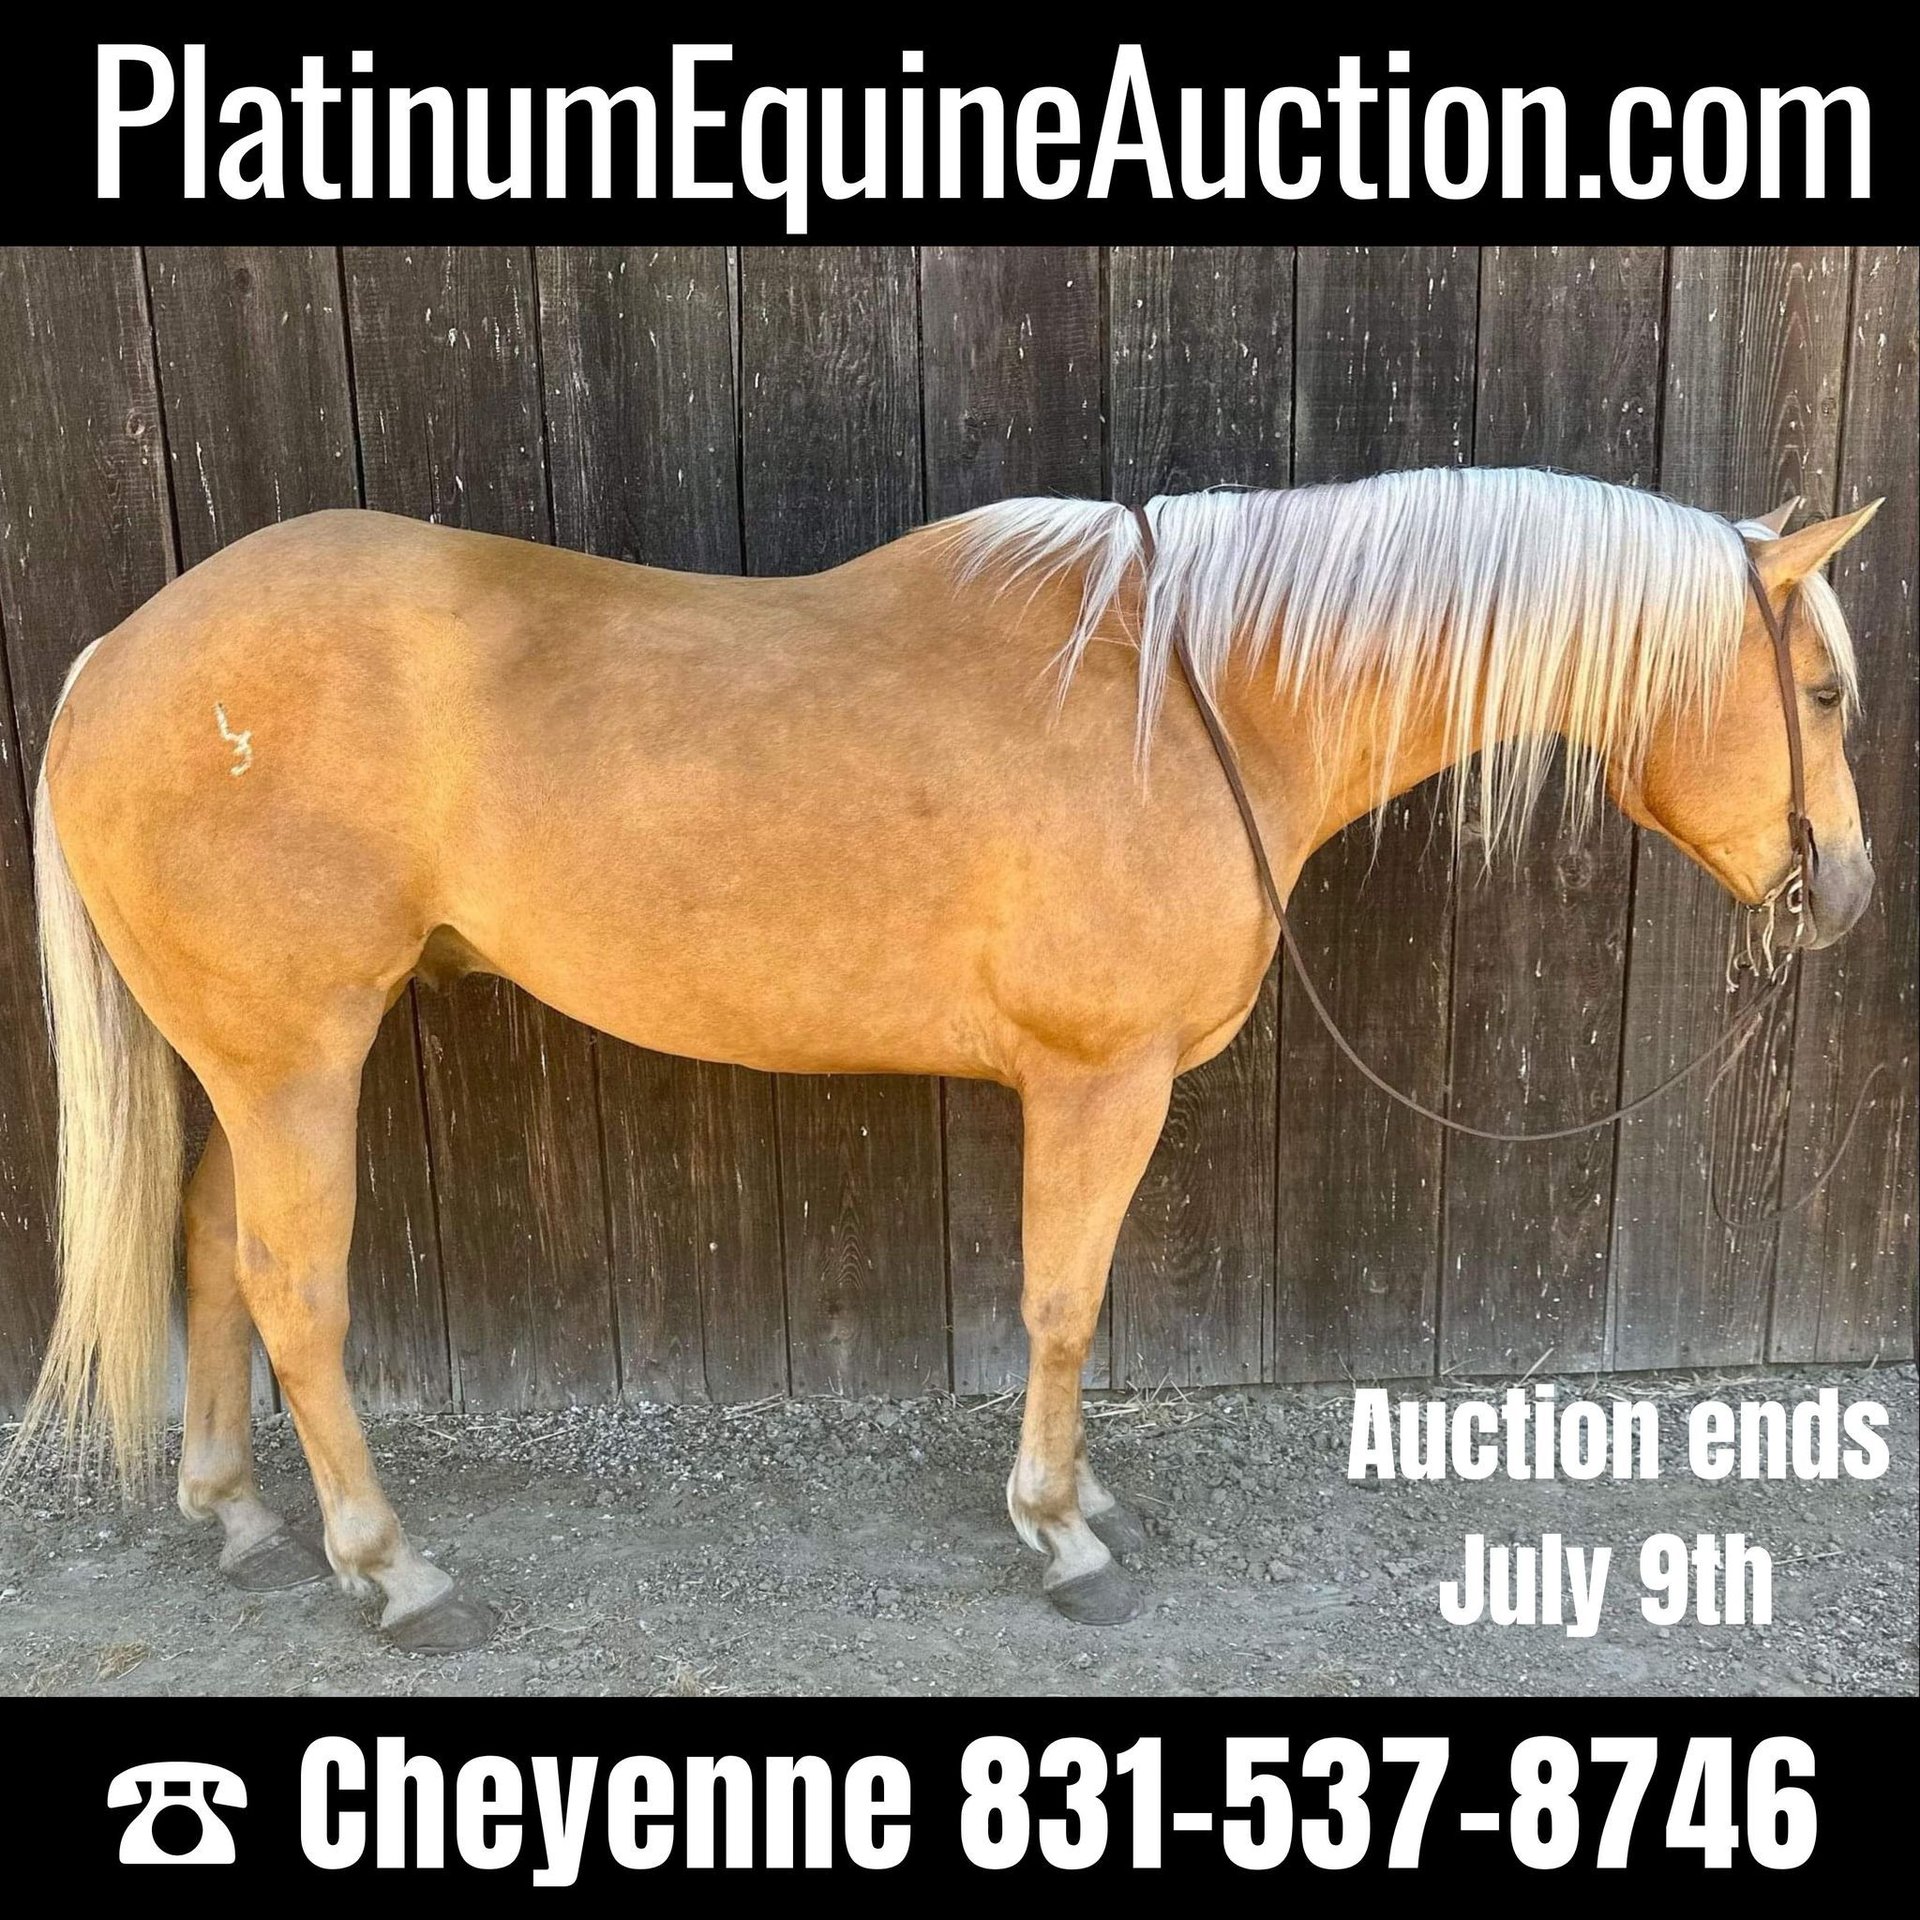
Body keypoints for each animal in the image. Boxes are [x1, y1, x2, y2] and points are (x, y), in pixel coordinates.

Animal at [7, 466, 1880, 1650]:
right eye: (1824, 691)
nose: (1847, 895)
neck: (1196, 696)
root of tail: (115, 659)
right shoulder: (1099, 1080)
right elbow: (1063, 1300)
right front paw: (1063, 1535)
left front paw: (1086, 1502)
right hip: (295, 1056)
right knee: (294, 1292)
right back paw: (391, 1573)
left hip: (251, 1061)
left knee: (211, 1262)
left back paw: (244, 1522)